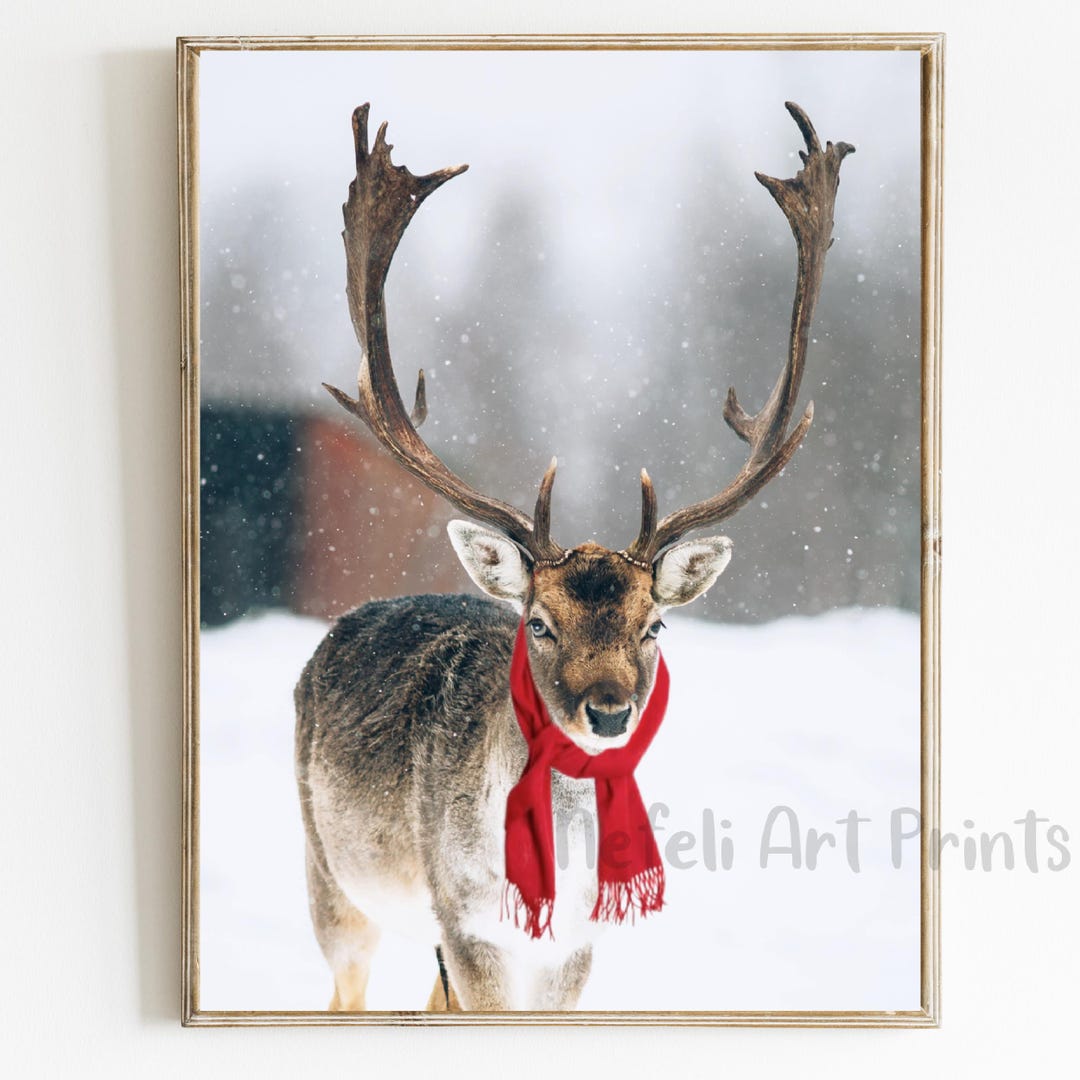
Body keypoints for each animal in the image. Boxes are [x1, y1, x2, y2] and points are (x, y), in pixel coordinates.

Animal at [295, 101, 853, 1012]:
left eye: (655, 624)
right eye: (541, 624)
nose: (610, 710)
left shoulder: (578, 947)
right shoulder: (468, 928)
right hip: (332, 882)